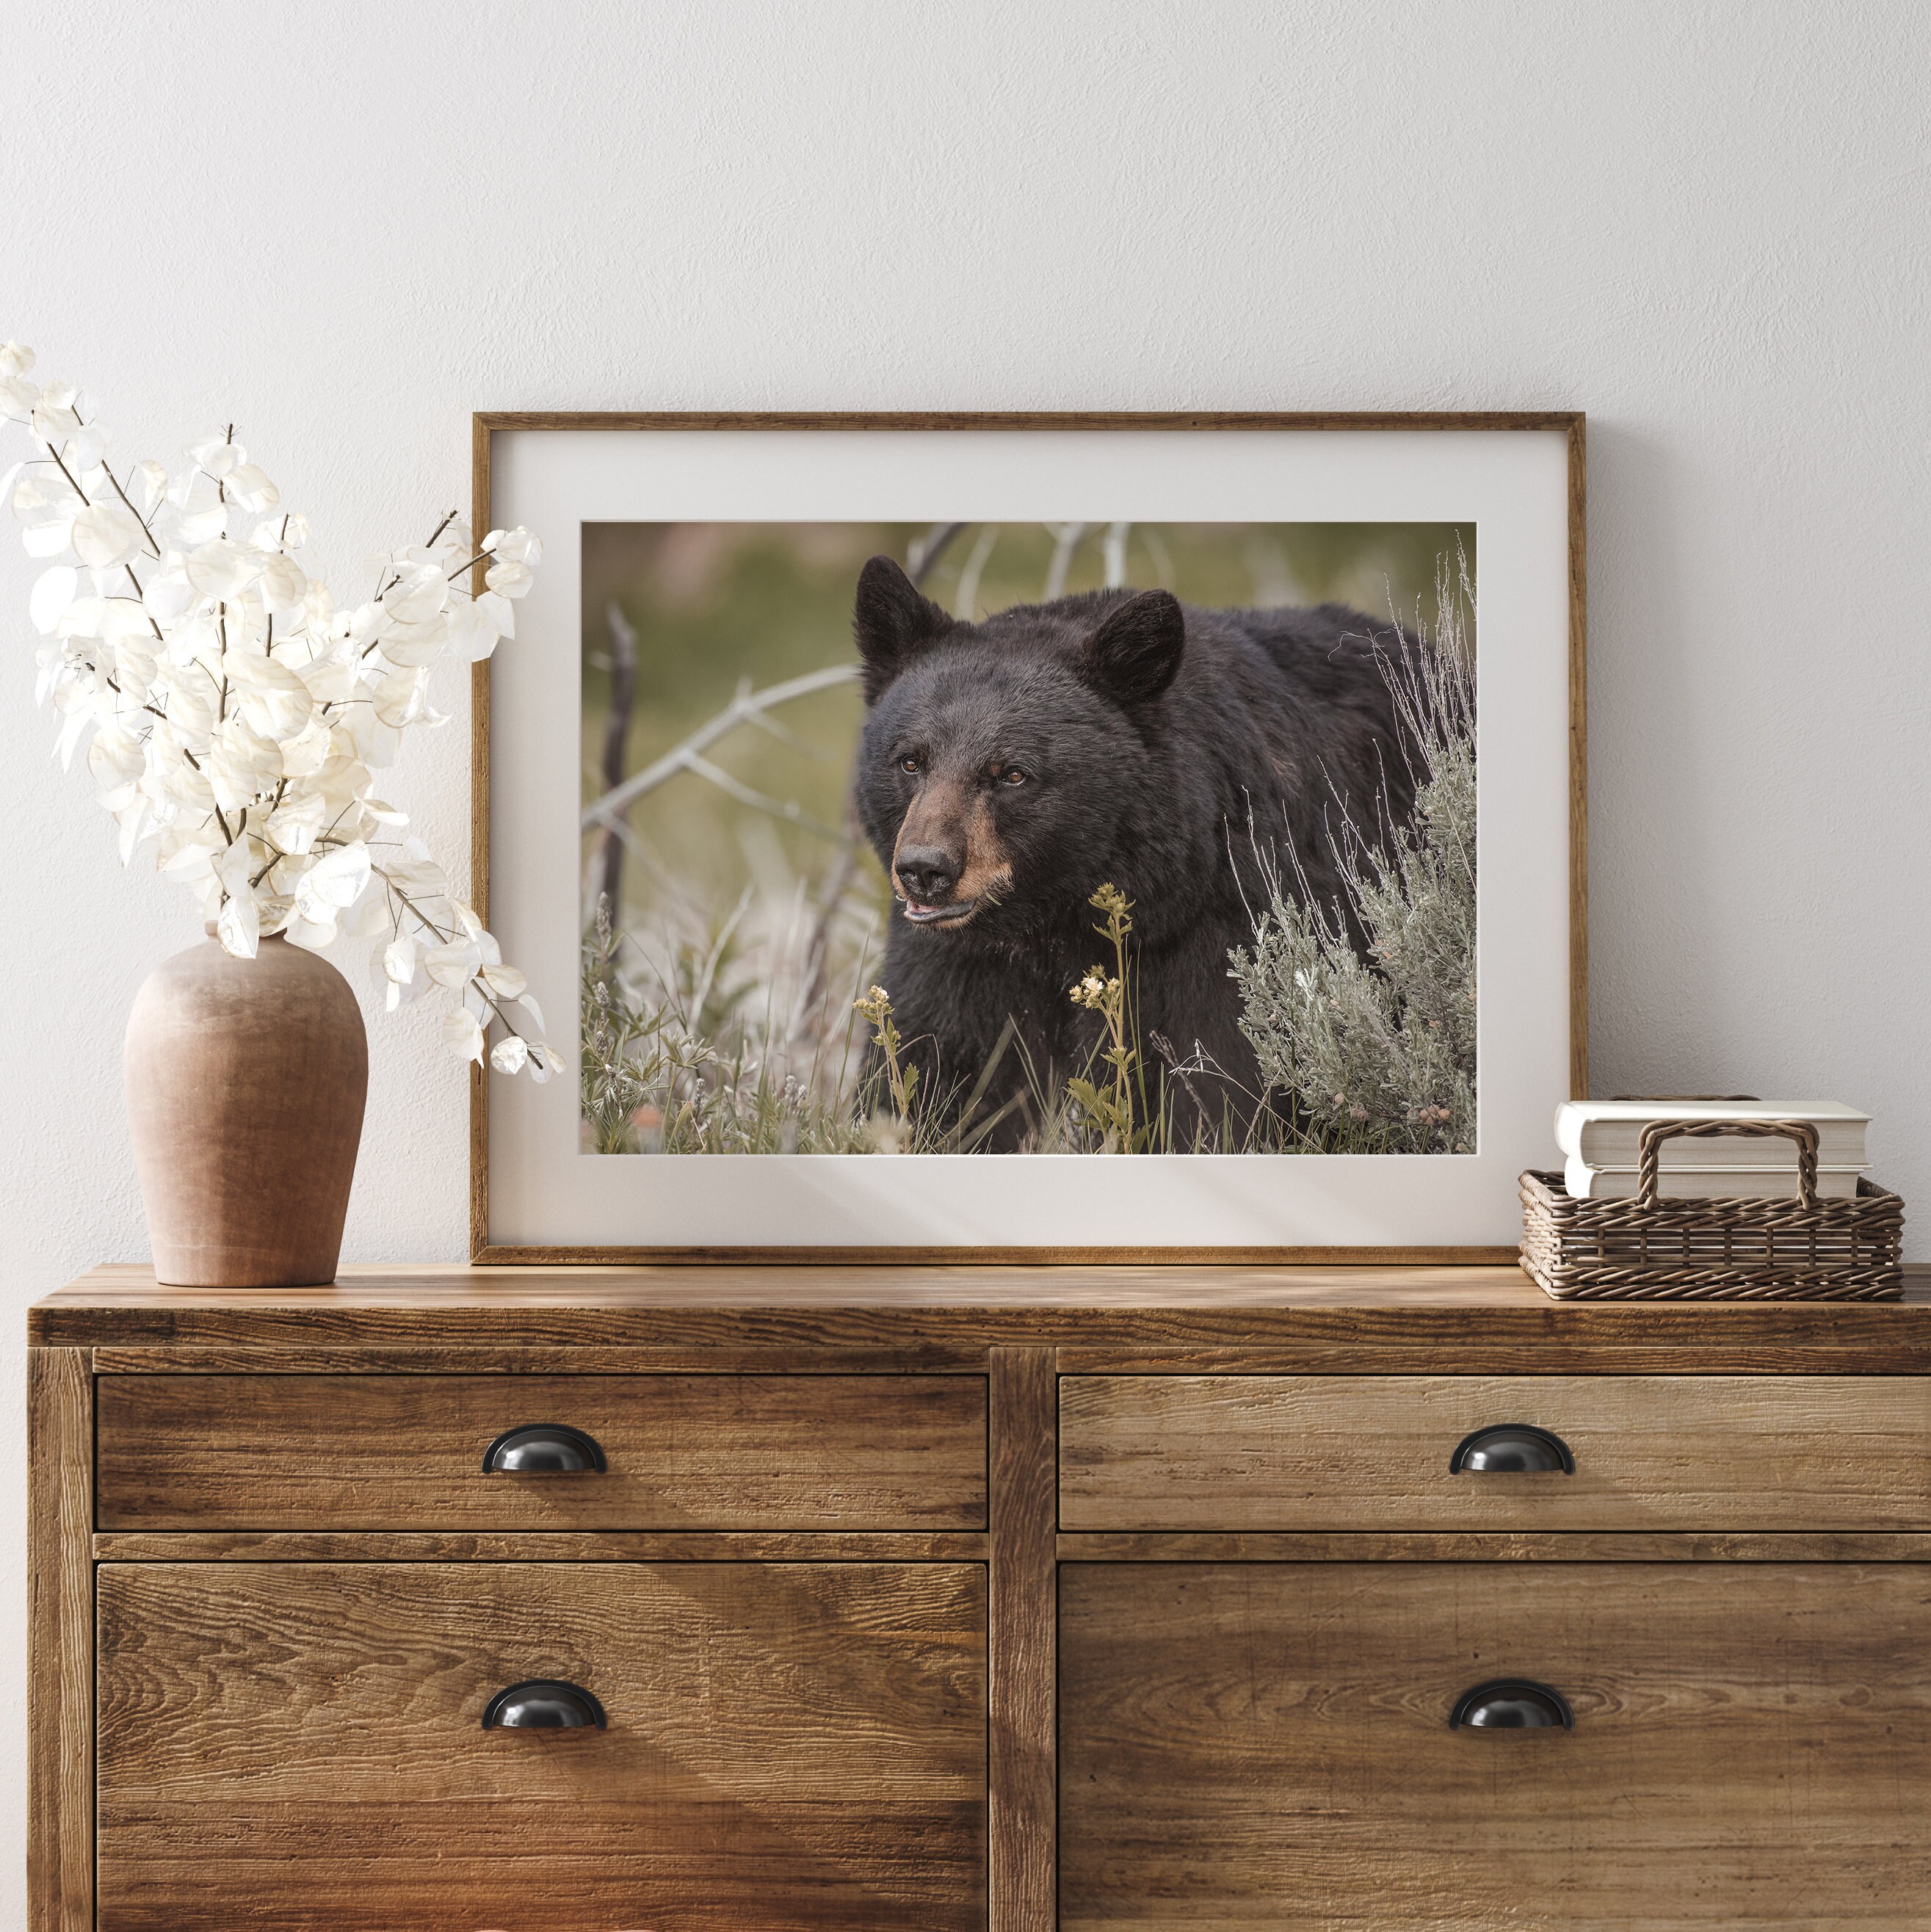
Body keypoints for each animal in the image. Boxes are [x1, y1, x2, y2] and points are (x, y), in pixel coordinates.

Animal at [850, 555, 1419, 1149]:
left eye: (1012, 774)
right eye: (910, 761)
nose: (925, 869)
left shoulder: (1234, 924)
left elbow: (1221, 1081)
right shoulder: (959, 962)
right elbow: (937, 1061)